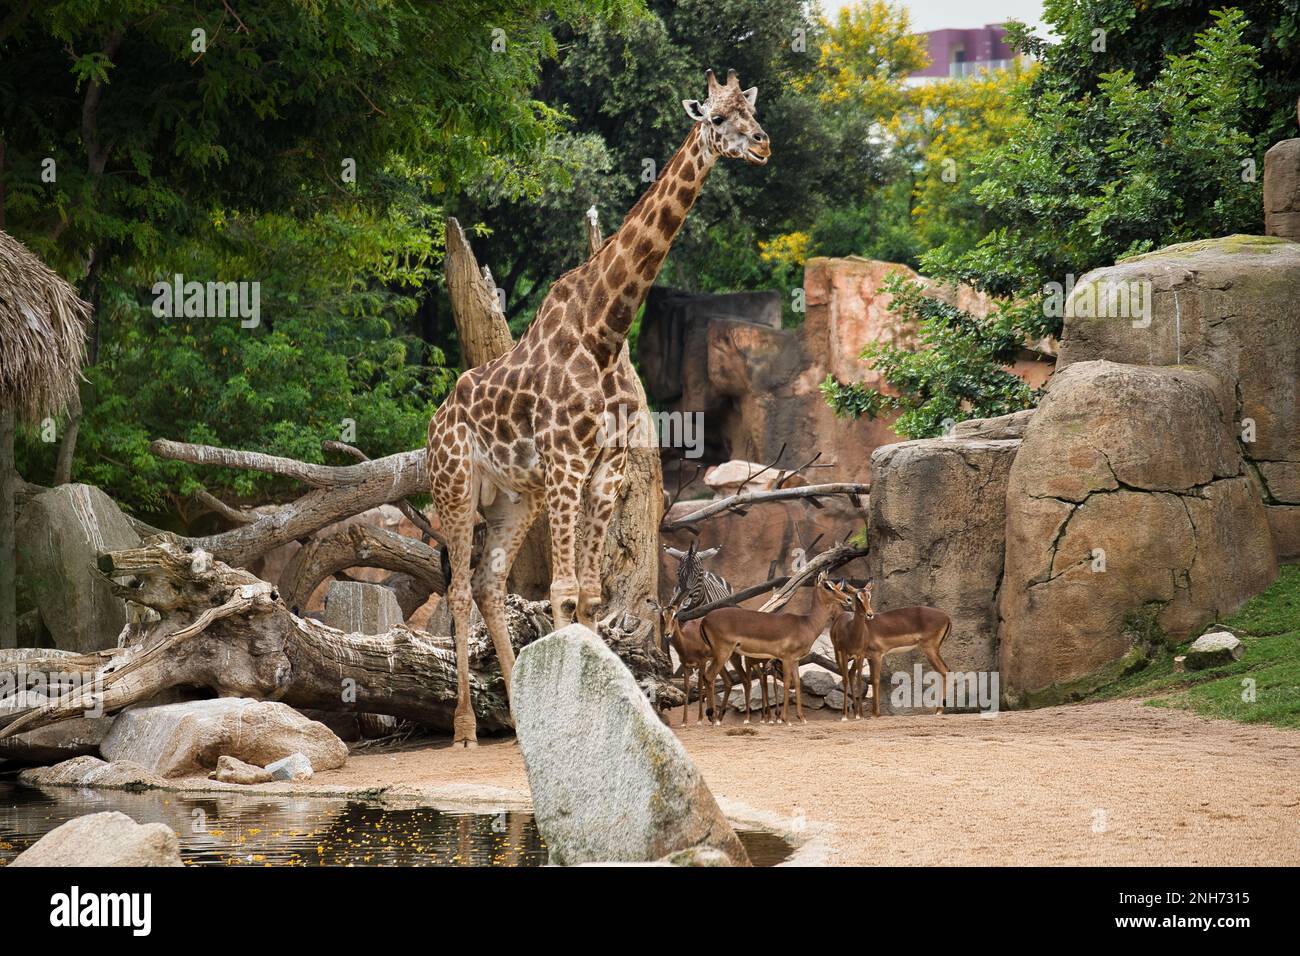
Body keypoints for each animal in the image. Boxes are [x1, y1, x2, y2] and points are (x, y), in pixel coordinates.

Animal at [426, 68, 770, 746]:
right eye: (717, 118)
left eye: (750, 111)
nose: (763, 145)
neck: (603, 330)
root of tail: (435, 422)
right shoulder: (564, 462)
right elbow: (562, 591)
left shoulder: (603, 468)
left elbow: (586, 593)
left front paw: (589, 713)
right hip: (456, 489)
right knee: (457, 592)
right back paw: (465, 728)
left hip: (514, 499)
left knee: (488, 584)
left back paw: (515, 707)